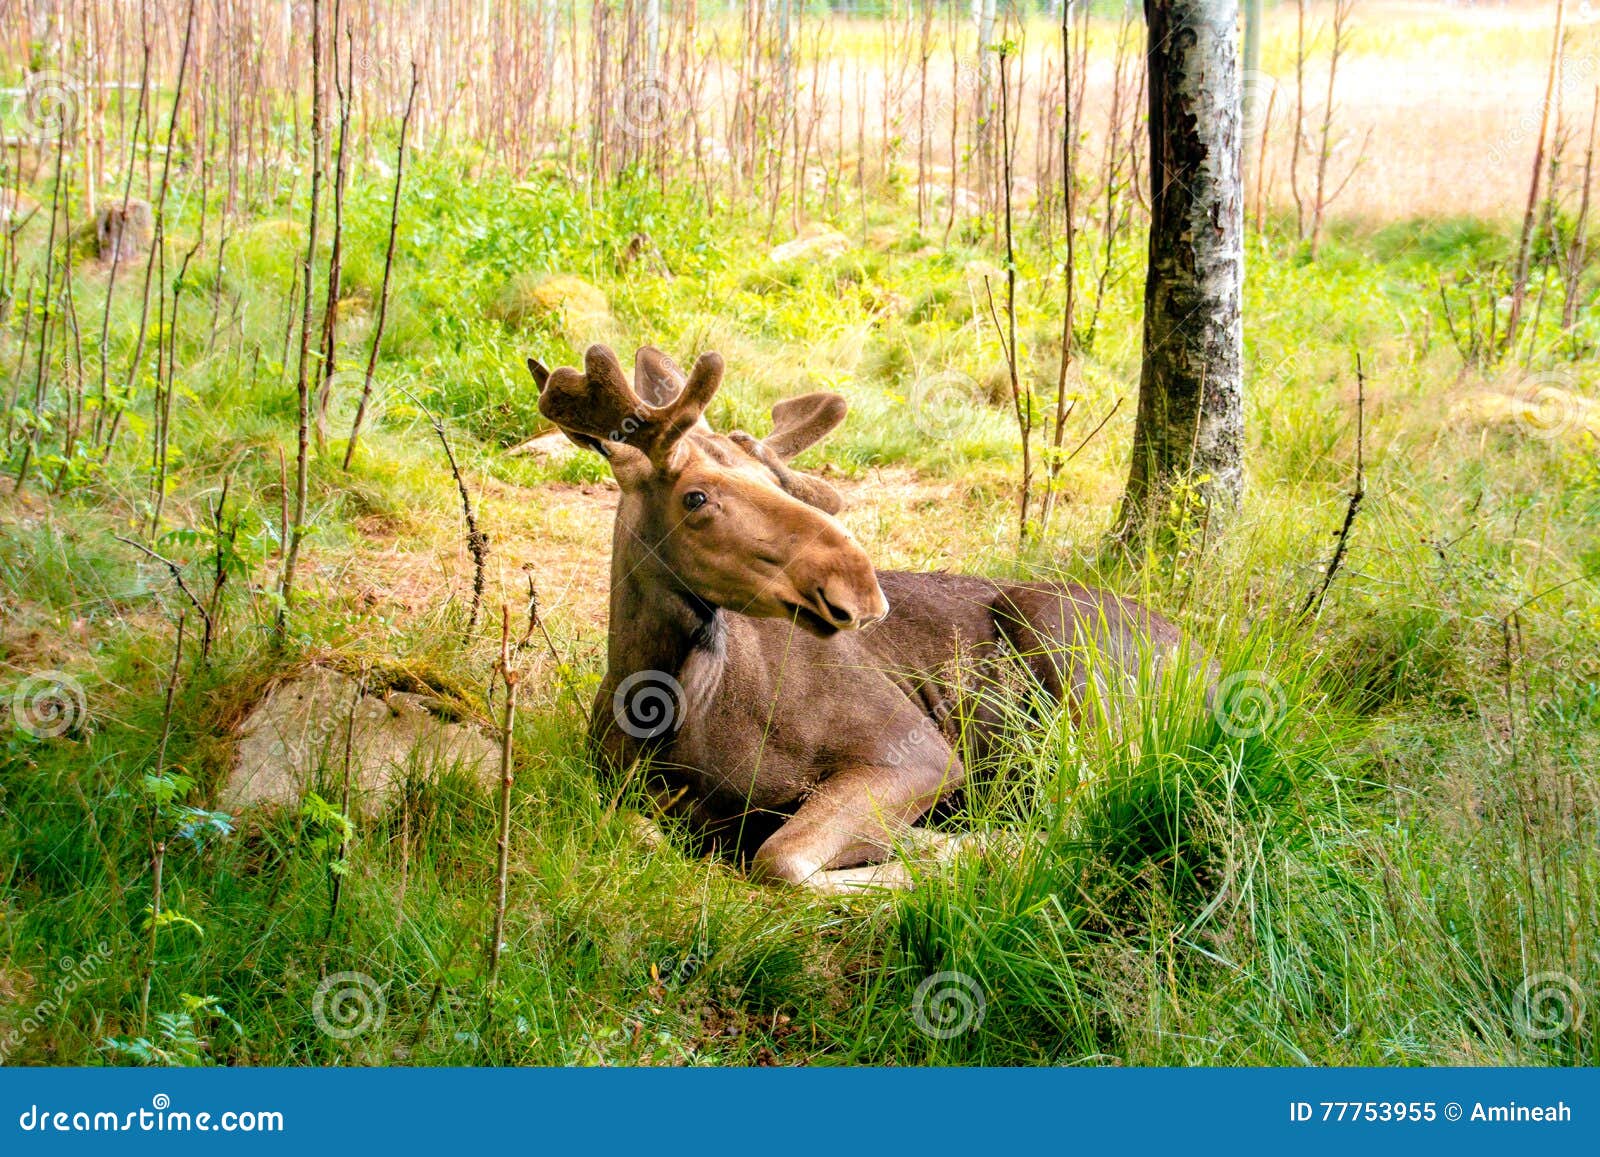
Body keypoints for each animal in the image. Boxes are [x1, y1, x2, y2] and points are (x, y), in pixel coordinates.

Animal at [527, 343, 1198, 893]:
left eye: (778, 482)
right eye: (695, 498)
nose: (861, 587)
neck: (663, 698)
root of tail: (1208, 663)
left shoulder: (918, 752)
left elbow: (781, 859)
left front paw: (954, 850)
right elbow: (637, 830)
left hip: (1069, 653)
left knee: (1080, 803)